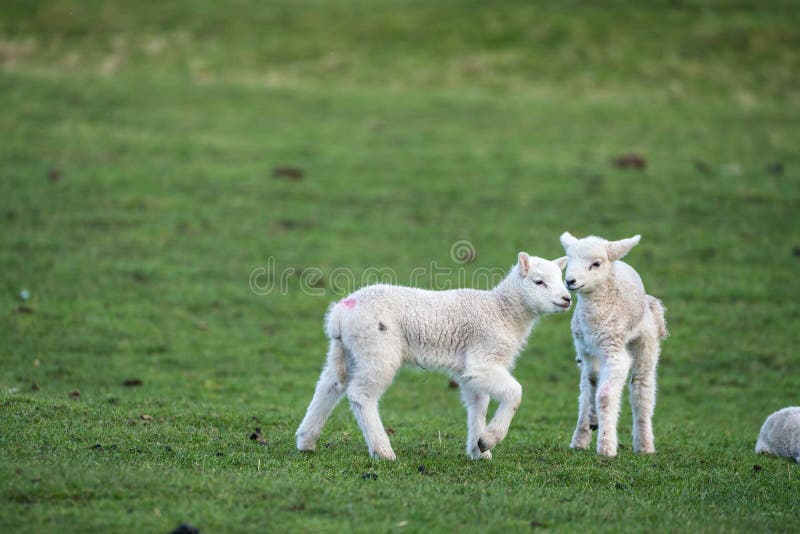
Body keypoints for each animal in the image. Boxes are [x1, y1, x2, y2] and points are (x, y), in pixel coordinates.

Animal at [295, 252, 572, 460]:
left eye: (561, 279)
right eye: (538, 282)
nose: (567, 298)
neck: (503, 311)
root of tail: (340, 314)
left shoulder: (469, 368)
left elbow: (478, 404)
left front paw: (479, 450)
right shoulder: (482, 358)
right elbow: (515, 392)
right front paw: (489, 439)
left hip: (345, 350)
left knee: (330, 385)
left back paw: (306, 440)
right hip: (377, 348)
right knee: (360, 395)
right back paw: (383, 451)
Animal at [559, 232, 667, 457]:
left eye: (596, 264)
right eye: (569, 259)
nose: (570, 281)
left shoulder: (615, 353)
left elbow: (605, 396)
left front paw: (606, 446)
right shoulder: (586, 350)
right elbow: (592, 385)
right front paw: (593, 421)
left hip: (645, 342)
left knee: (642, 389)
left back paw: (644, 445)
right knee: (585, 389)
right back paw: (581, 438)